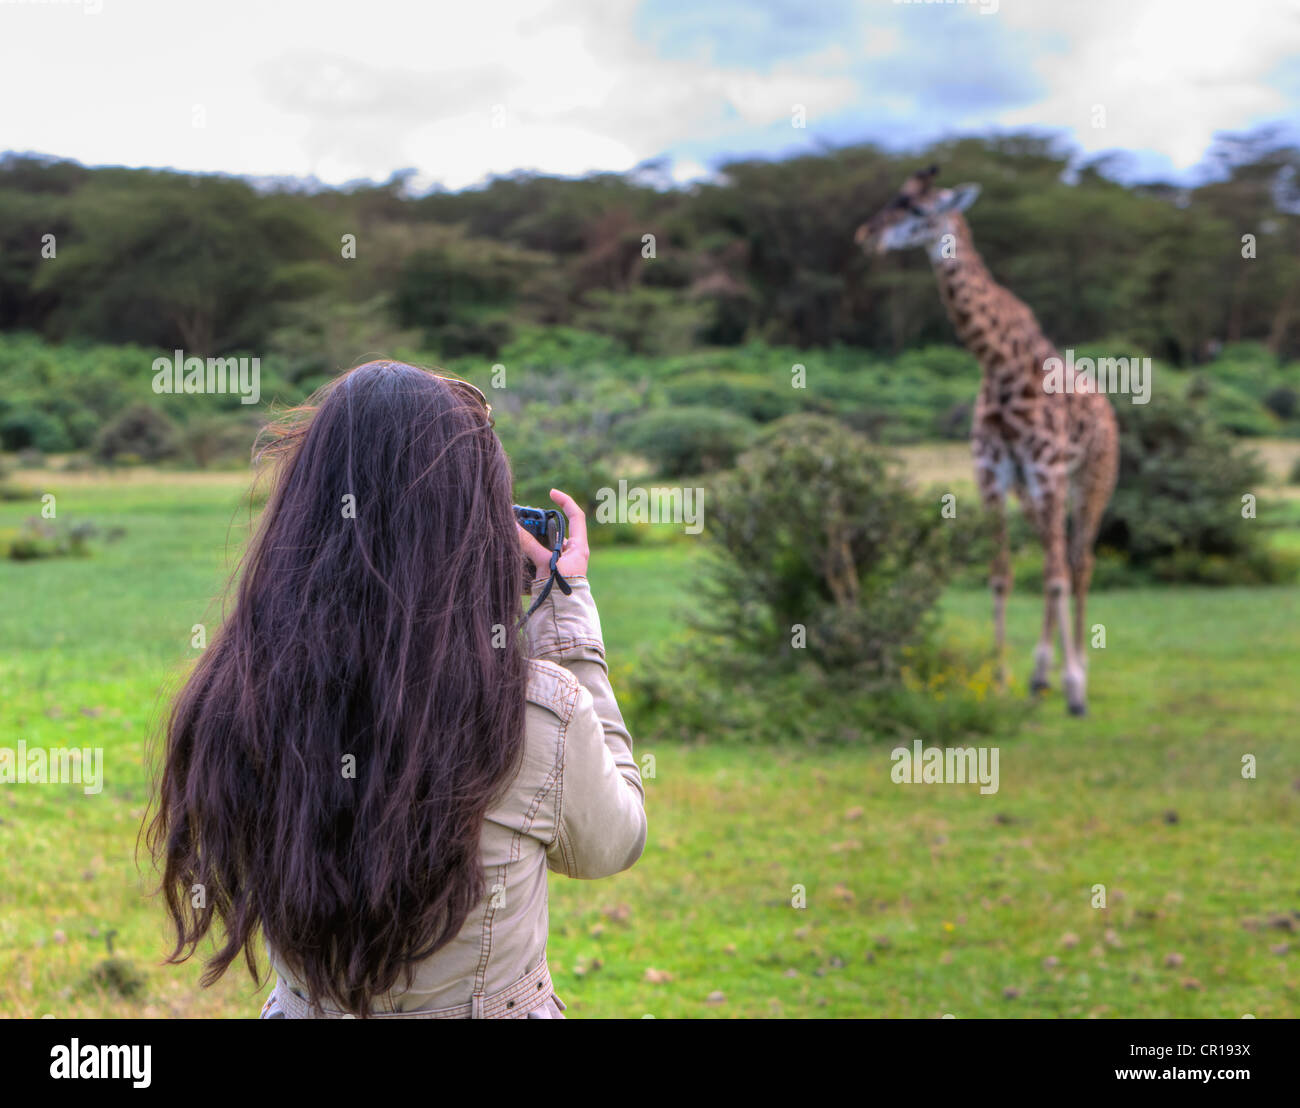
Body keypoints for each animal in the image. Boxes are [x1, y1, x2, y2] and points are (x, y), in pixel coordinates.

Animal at [855, 166, 1119, 715]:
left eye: (917, 208)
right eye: (894, 198)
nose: (865, 235)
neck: (998, 364)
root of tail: (1107, 407)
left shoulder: (1047, 471)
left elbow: (1057, 578)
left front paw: (1074, 688)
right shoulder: (993, 476)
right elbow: (1001, 575)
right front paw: (1001, 681)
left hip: (1090, 480)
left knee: (1078, 564)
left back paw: (1078, 672)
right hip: (1034, 494)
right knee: (1053, 558)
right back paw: (1040, 677)